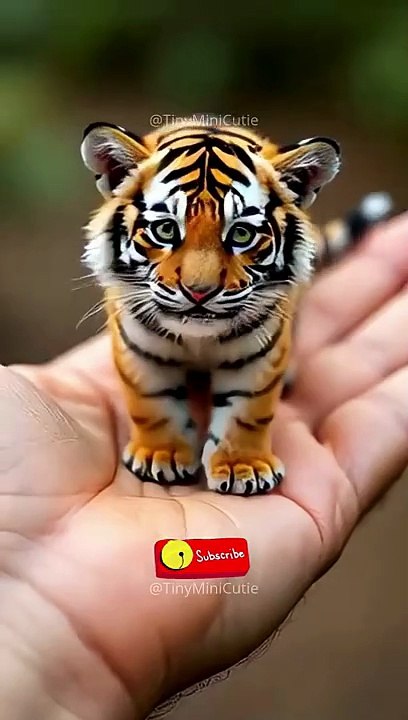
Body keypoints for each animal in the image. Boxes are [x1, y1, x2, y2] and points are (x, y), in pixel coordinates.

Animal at [80, 120, 392, 496]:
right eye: (166, 229)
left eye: (242, 234)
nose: (199, 292)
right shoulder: (139, 349)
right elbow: (153, 404)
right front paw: (162, 456)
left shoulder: (258, 355)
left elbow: (245, 413)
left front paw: (243, 468)